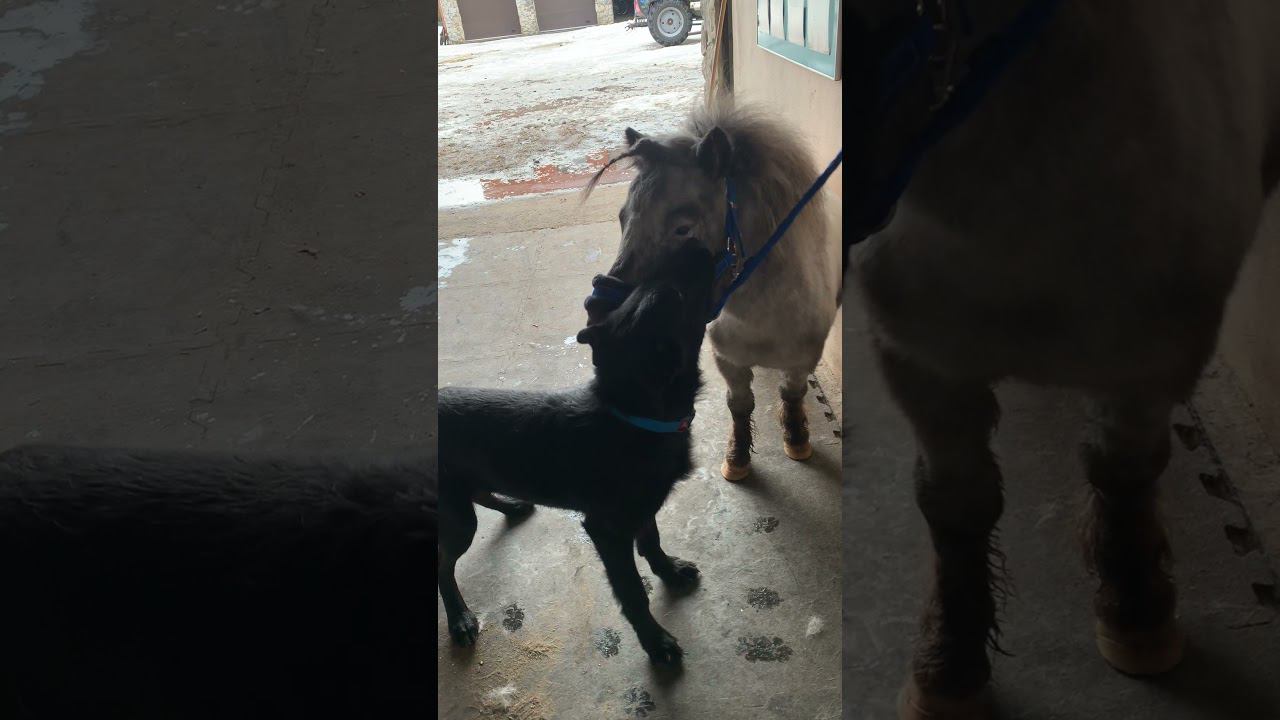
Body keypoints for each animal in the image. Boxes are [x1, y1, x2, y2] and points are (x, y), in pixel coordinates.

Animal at [437, 240, 715, 664]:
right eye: (680, 296)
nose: (695, 243)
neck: (630, 416)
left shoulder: (642, 510)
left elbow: (651, 541)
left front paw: (669, 571)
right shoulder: (607, 529)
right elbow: (633, 593)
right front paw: (656, 643)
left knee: (480, 491)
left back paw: (512, 506)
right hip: (456, 516)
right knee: (443, 565)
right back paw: (460, 619)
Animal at [585, 103, 841, 483]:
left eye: (683, 229)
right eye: (622, 217)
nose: (599, 311)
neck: (763, 317)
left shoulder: (801, 360)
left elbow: (792, 393)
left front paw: (796, 439)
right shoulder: (729, 361)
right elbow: (740, 405)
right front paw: (737, 458)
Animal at [850, 1, 1280, 717]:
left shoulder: (1146, 355)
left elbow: (1121, 467)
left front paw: (1136, 610)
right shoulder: (924, 355)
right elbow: (956, 502)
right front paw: (949, 666)